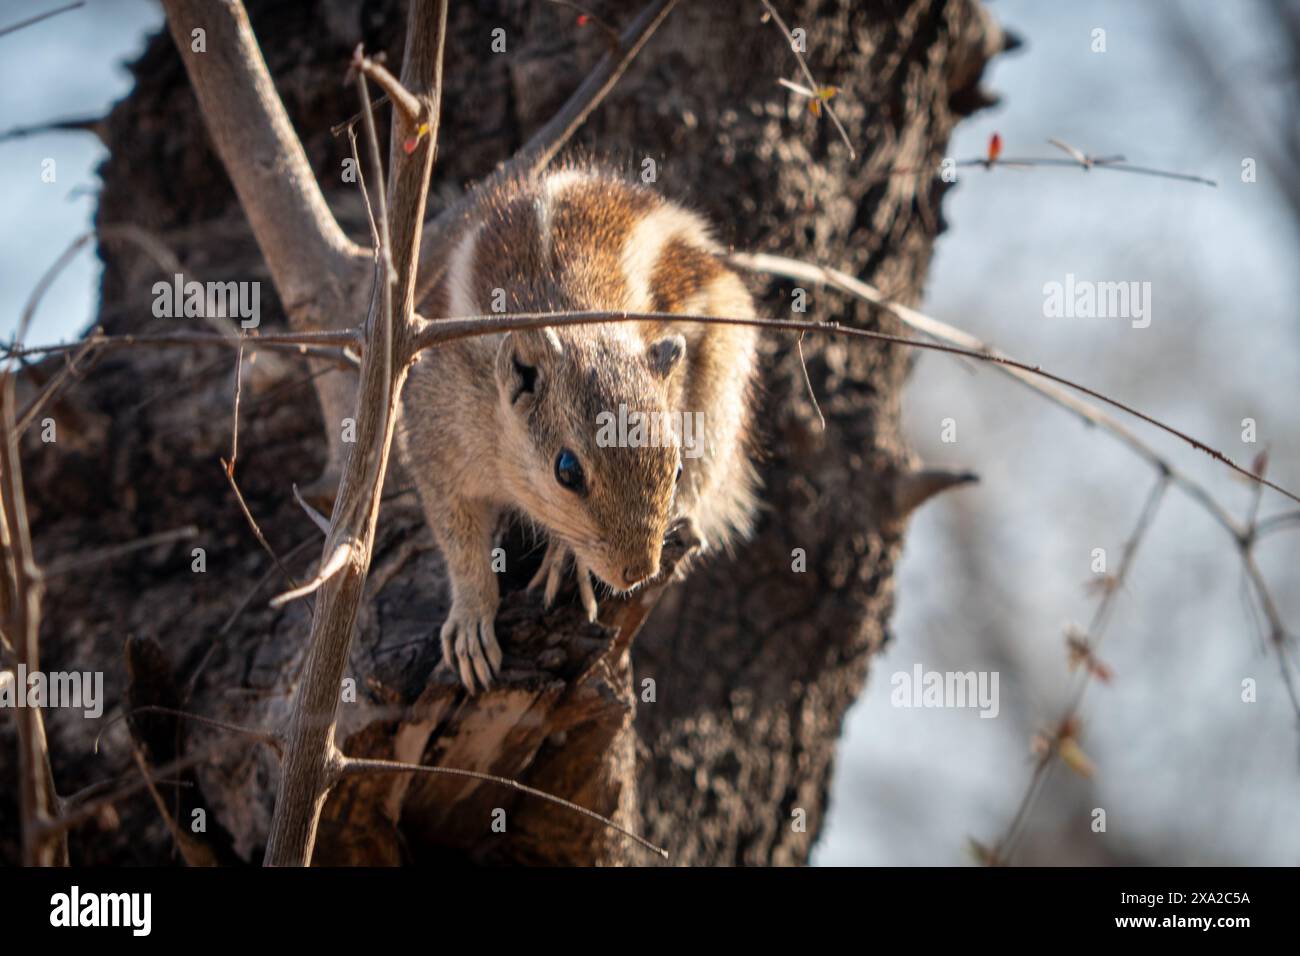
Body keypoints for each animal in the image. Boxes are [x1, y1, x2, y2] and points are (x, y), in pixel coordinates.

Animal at [397, 166, 760, 692]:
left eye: (672, 470)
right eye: (566, 471)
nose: (637, 572)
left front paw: (565, 559)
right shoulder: (437, 440)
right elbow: (459, 541)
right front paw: (469, 624)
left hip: (722, 384)